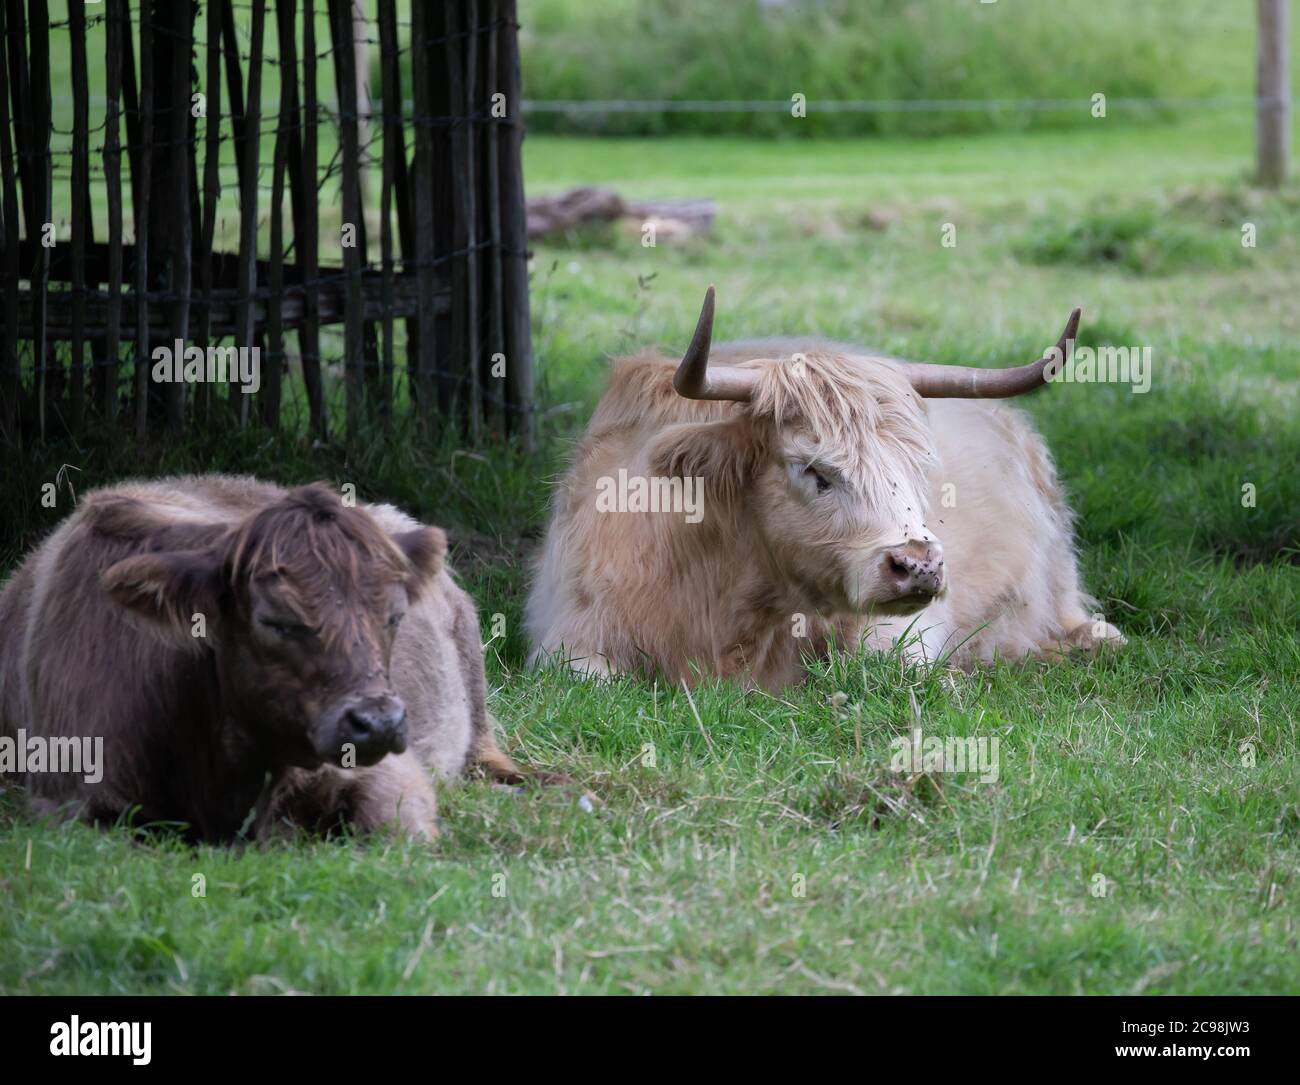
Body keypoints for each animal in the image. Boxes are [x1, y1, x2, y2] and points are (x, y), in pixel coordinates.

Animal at [526, 287, 1125, 692]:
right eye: (814, 471)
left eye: (917, 466)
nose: (920, 566)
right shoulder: (568, 632)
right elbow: (592, 677)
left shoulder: (901, 629)